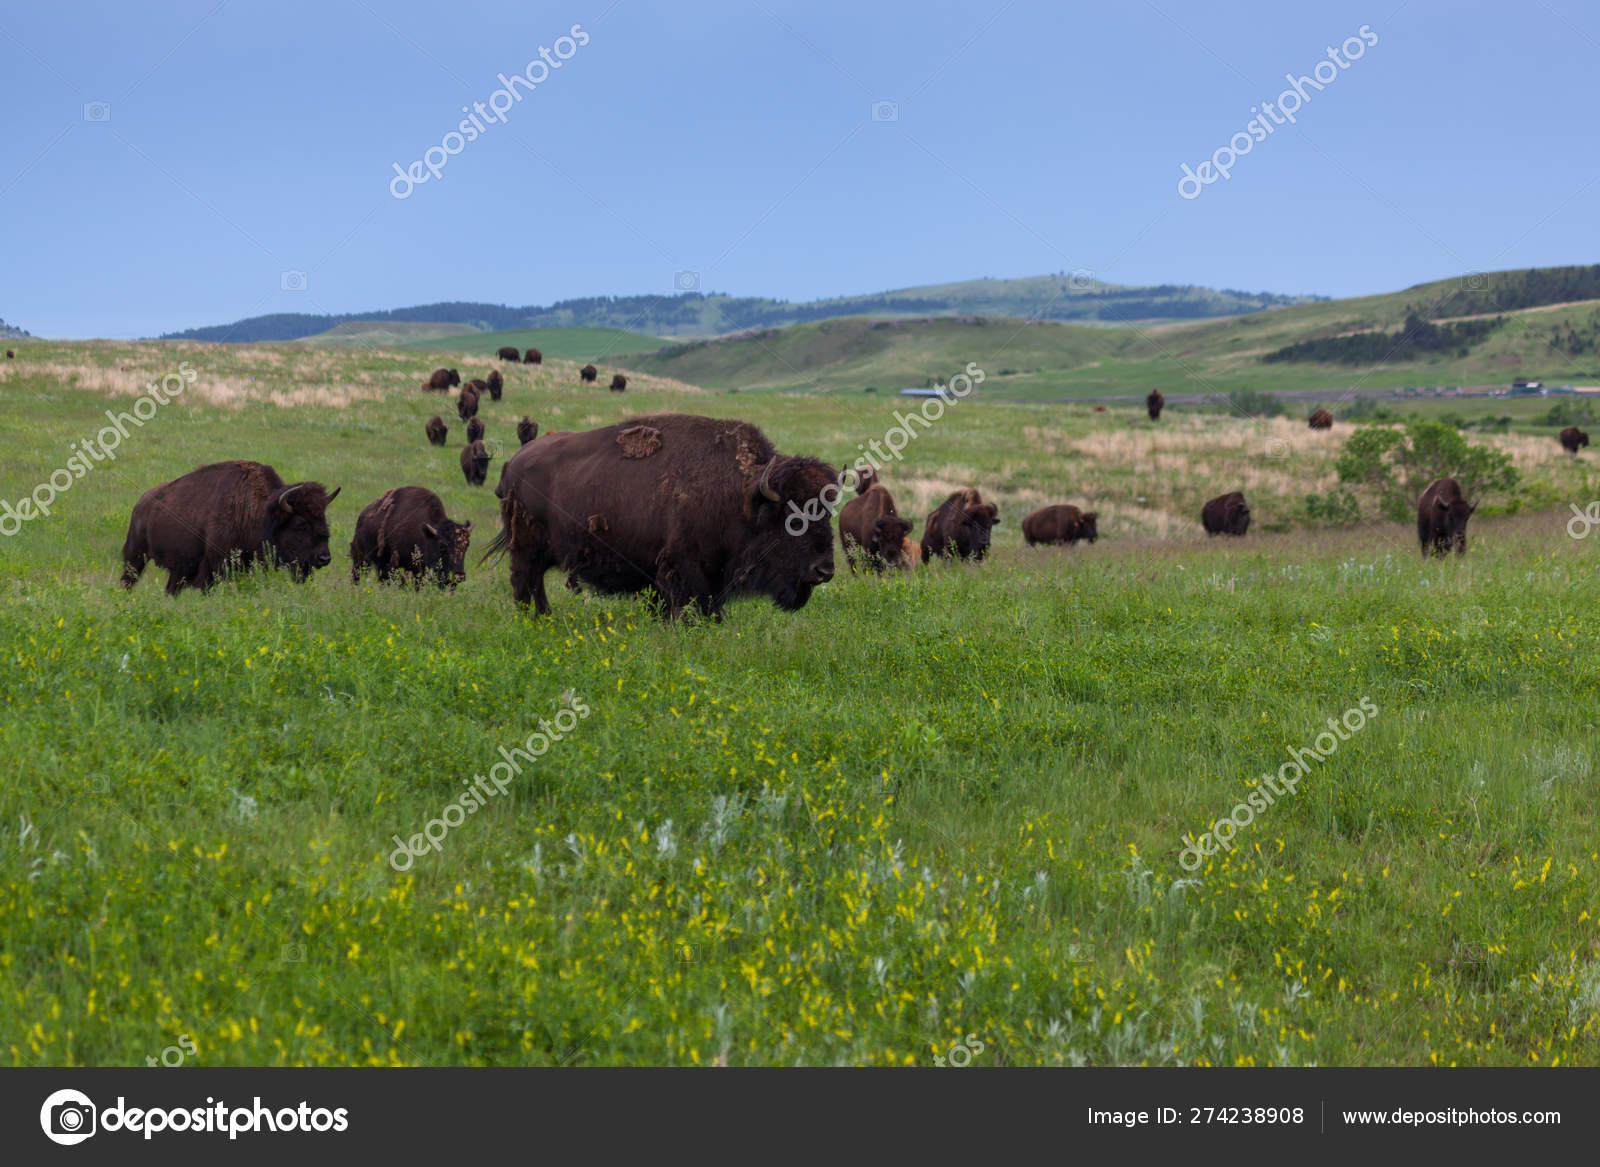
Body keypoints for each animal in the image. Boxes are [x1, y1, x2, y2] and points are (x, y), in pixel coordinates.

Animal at [121, 460, 340, 594]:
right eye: (301, 524)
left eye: (323, 519)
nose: (324, 558)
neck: (260, 513)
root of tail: (141, 504)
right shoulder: (213, 566)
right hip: (136, 556)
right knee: (129, 579)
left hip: (178, 568)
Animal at [485, 412, 837, 619]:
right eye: (792, 518)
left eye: (827, 514)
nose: (824, 570)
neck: (740, 496)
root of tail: (513, 463)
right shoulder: (684, 570)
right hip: (526, 549)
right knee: (525, 582)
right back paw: (536, 618)